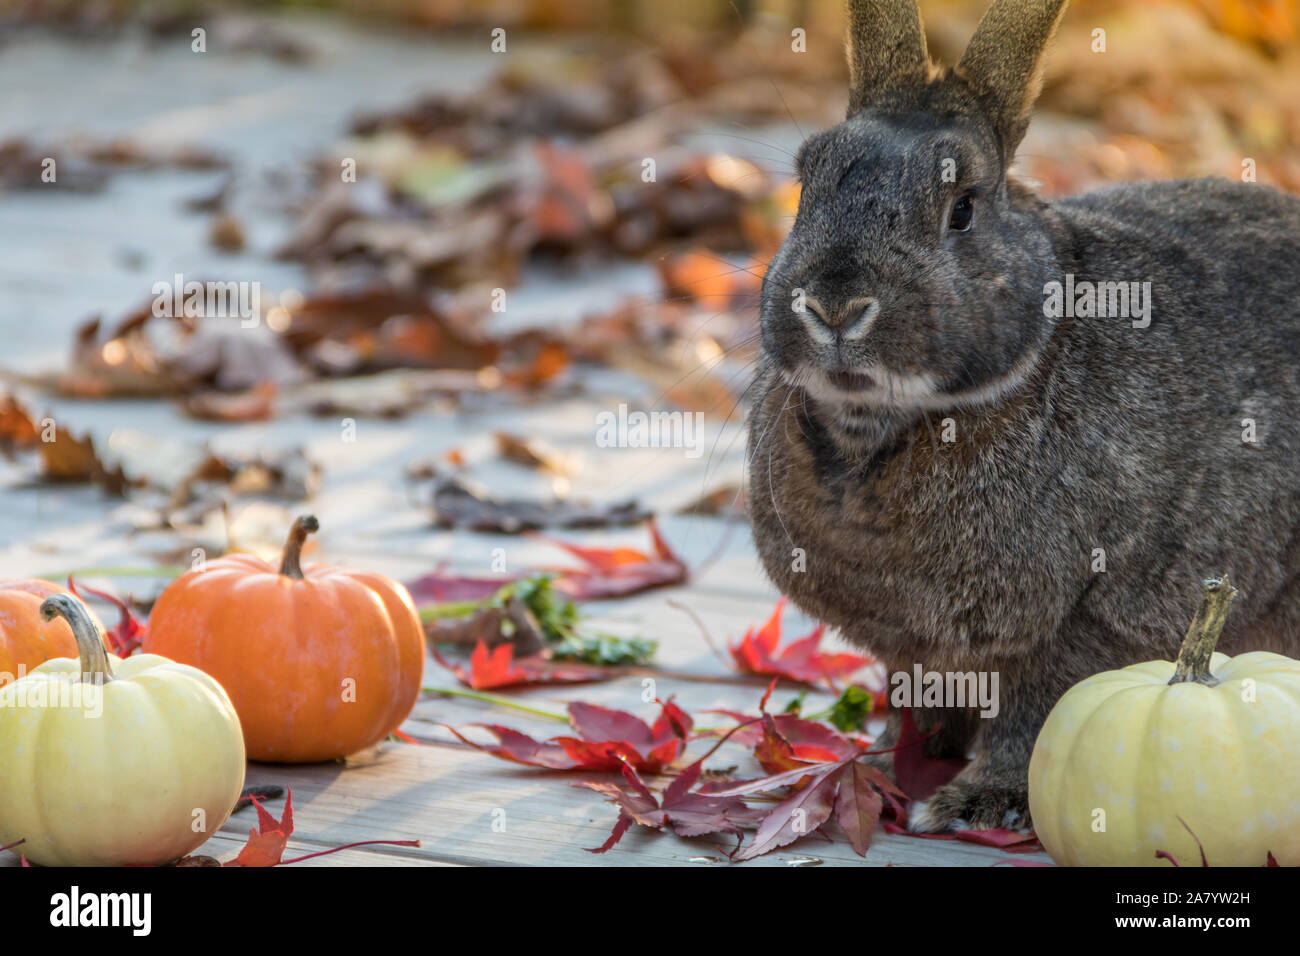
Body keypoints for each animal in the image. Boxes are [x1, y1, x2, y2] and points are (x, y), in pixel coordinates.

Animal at [747, 0, 1300, 833]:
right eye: (804, 186)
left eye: (962, 210)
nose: (834, 307)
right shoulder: (915, 654)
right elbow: (924, 704)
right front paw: (885, 766)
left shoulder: (1092, 612)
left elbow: (1037, 713)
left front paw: (977, 800)